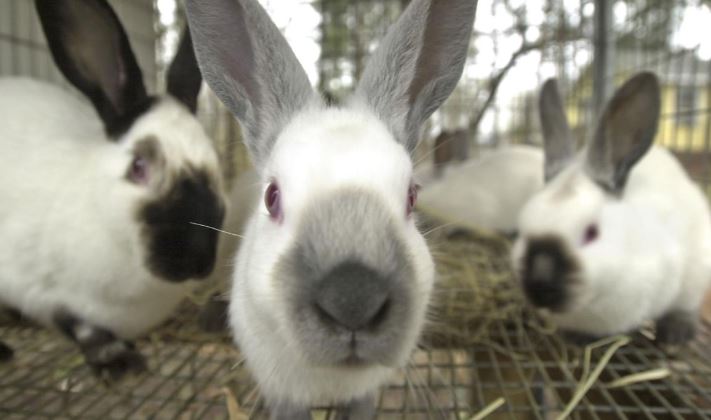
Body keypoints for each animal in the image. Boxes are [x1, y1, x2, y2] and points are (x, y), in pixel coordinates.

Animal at [0, 0, 225, 379]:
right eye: (138, 167)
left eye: (214, 162)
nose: (197, 258)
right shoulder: (35, 286)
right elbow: (81, 325)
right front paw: (118, 363)